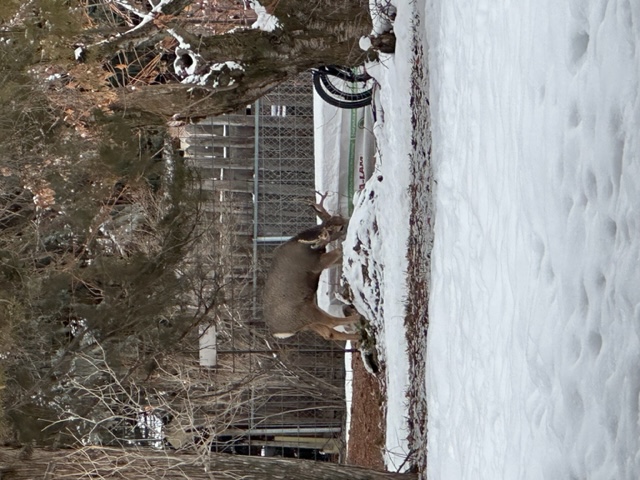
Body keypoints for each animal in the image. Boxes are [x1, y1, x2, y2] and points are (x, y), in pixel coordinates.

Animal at [262, 192, 361, 342]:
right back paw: (359, 319)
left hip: (308, 321)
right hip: (306, 313)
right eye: (340, 228)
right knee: (332, 322)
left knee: (329, 333)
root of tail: (278, 333)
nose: (350, 219)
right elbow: (339, 251)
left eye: (339, 217)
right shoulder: (316, 263)